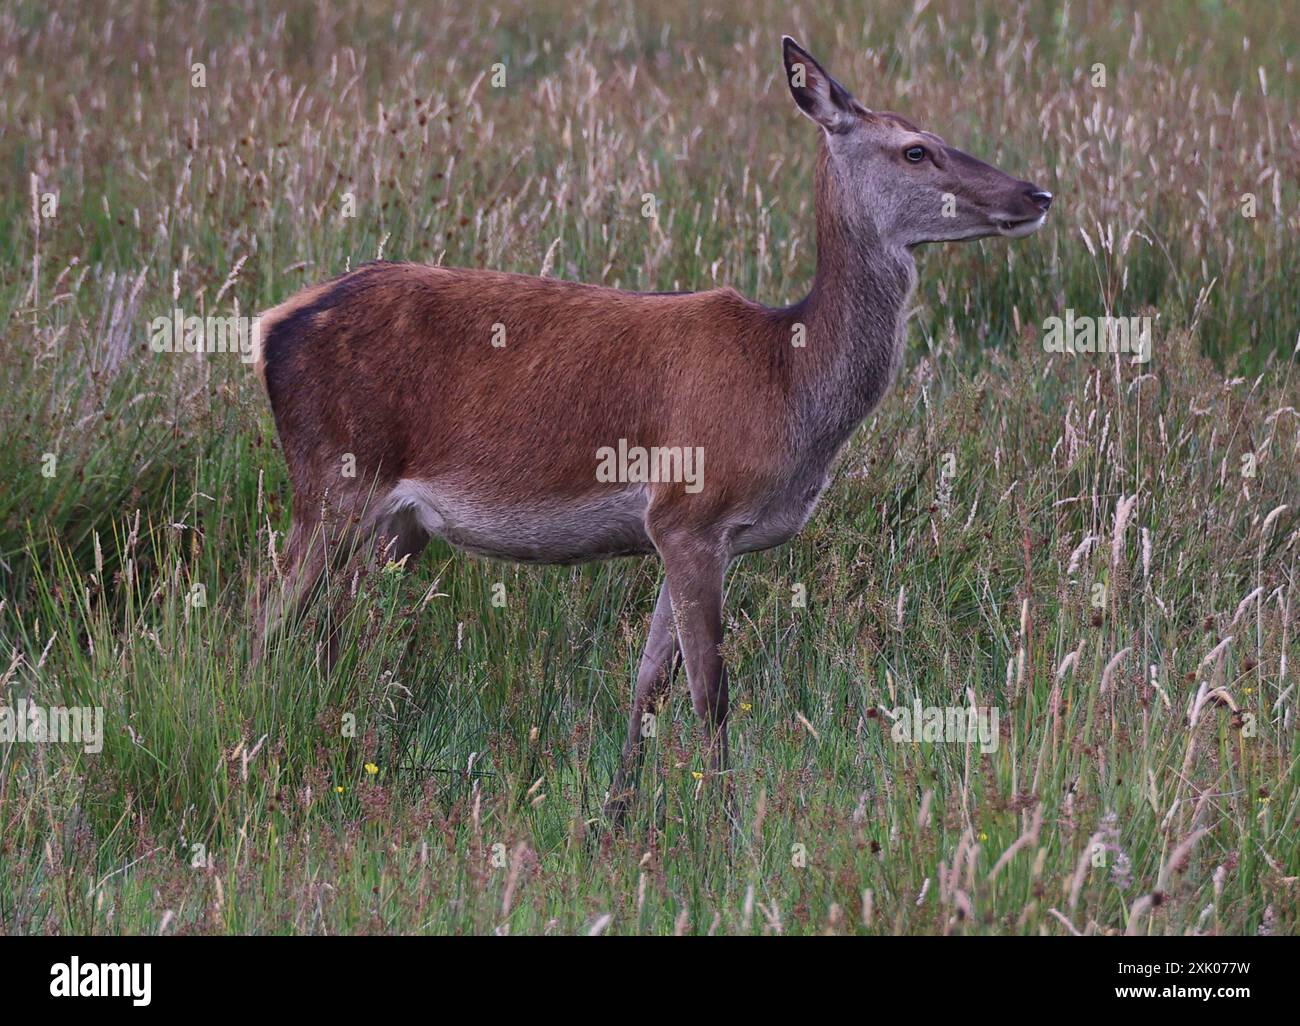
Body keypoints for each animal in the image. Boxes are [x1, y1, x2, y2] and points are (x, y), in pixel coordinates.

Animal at [252, 37, 1052, 823]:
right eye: (916, 150)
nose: (1036, 194)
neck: (788, 382)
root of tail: (270, 326)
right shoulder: (690, 512)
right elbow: (710, 692)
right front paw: (727, 827)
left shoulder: (688, 531)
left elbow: (648, 679)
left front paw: (616, 813)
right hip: (333, 479)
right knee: (266, 620)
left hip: (396, 526)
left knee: (333, 633)